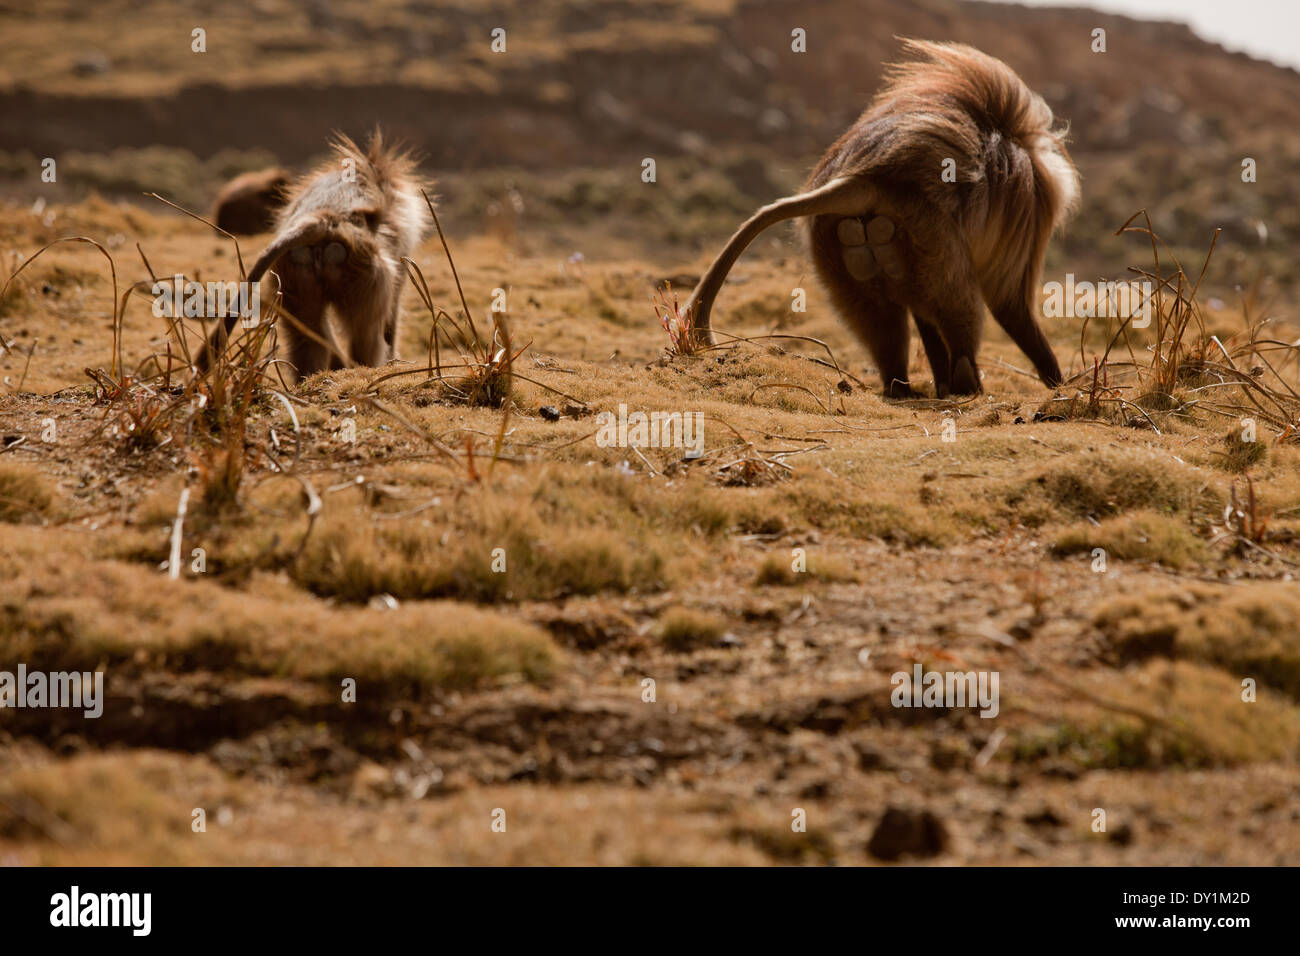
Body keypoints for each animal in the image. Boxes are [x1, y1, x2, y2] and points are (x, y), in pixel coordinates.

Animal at [198, 131, 431, 381]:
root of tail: (322, 220)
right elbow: (392, 311)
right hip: (366, 274)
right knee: (365, 333)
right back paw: (363, 366)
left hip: (292, 274)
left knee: (307, 335)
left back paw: (312, 376)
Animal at [682, 40, 1080, 398]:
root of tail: (868, 181)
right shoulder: (1026, 213)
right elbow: (1009, 305)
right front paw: (1056, 381)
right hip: (933, 235)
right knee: (960, 306)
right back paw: (967, 383)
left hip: (838, 242)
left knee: (883, 321)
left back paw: (902, 386)